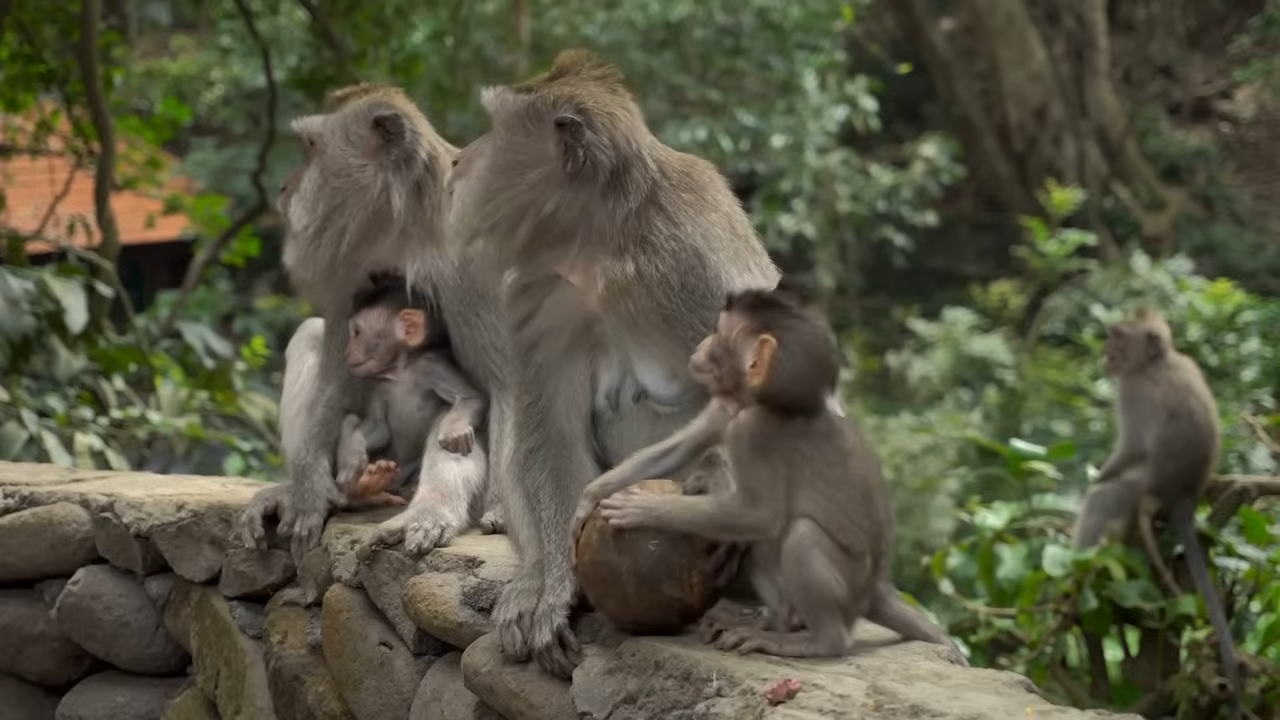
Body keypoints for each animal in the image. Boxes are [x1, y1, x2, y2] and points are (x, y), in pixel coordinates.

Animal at [233, 83, 511, 562]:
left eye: (311, 147)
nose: (285, 186)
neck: (404, 226)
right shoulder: (347, 267)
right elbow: (333, 373)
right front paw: (307, 492)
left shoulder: (474, 266)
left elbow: (499, 385)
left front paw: (496, 510)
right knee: (309, 337)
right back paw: (352, 491)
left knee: (456, 426)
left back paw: (428, 511)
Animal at [446, 49, 780, 677]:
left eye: (496, 130)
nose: (459, 159)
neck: (608, 243)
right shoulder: (539, 288)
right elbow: (550, 435)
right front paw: (554, 590)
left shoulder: (696, 250)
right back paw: (533, 575)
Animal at [569, 288, 966, 662]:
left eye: (718, 335)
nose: (700, 347)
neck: (765, 402)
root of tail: (876, 589)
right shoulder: (727, 404)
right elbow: (679, 450)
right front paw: (592, 494)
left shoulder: (752, 431)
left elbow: (758, 515)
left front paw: (643, 509)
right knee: (759, 545)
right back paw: (775, 621)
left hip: (848, 589)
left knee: (801, 535)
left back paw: (817, 641)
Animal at [1070, 307, 1240, 720]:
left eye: (1117, 334)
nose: (1106, 351)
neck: (1156, 362)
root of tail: (1182, 497)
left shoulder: (1131, 391)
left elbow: (1129, 449)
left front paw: (1097, 476)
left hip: (1140, 489)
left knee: (1107, 496)